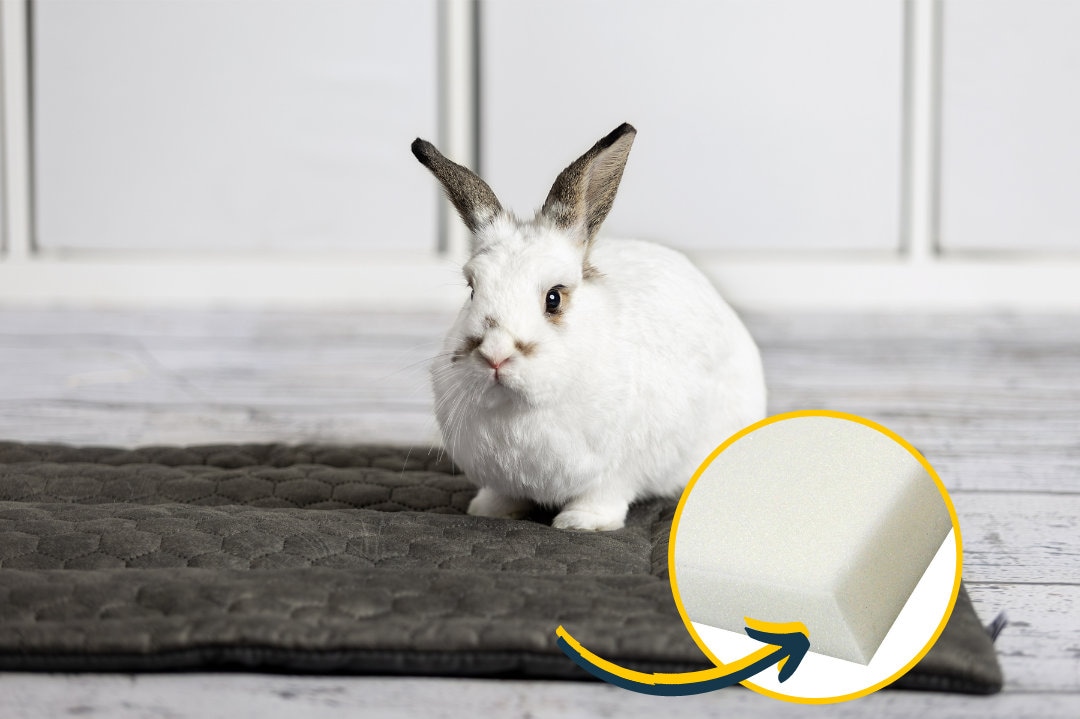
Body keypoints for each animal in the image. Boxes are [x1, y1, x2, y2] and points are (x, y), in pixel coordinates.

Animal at [411, 123, 766, 531]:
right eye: (472, 290)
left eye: (554, 298)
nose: (495, 355)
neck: (519, 409)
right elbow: (503, 496)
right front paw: (488, 510)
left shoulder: (616, 473)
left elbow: (602, 497)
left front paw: (580, 523)